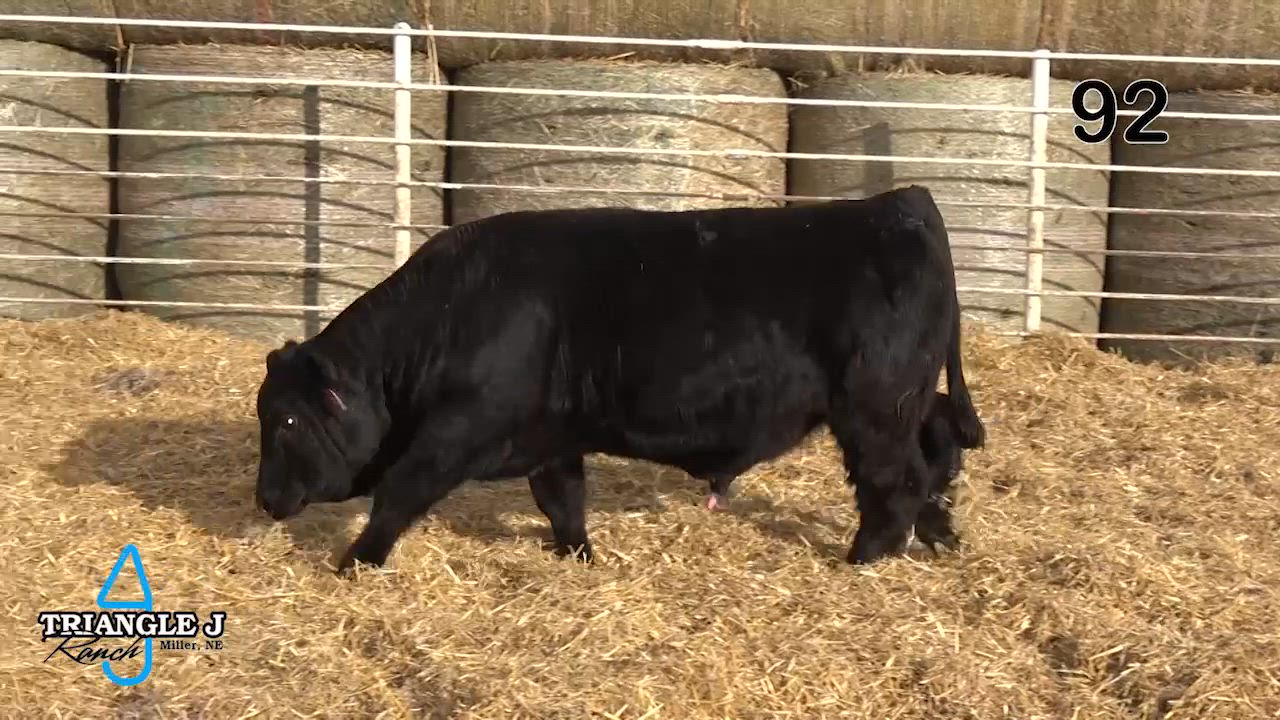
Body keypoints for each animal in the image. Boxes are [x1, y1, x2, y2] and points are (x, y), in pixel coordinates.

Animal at [252, 185, 985, 576]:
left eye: (285, 420)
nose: (263, 499)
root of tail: (897, 203)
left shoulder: (457, 431)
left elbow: (399, 493)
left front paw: (355, 562)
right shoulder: (550, 438)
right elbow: (562, 501)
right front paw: (579, 558)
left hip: (874, 408)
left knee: (895, 480)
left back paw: (864, 557)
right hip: (907, 403)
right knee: (935, 456)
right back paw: (940, 534)